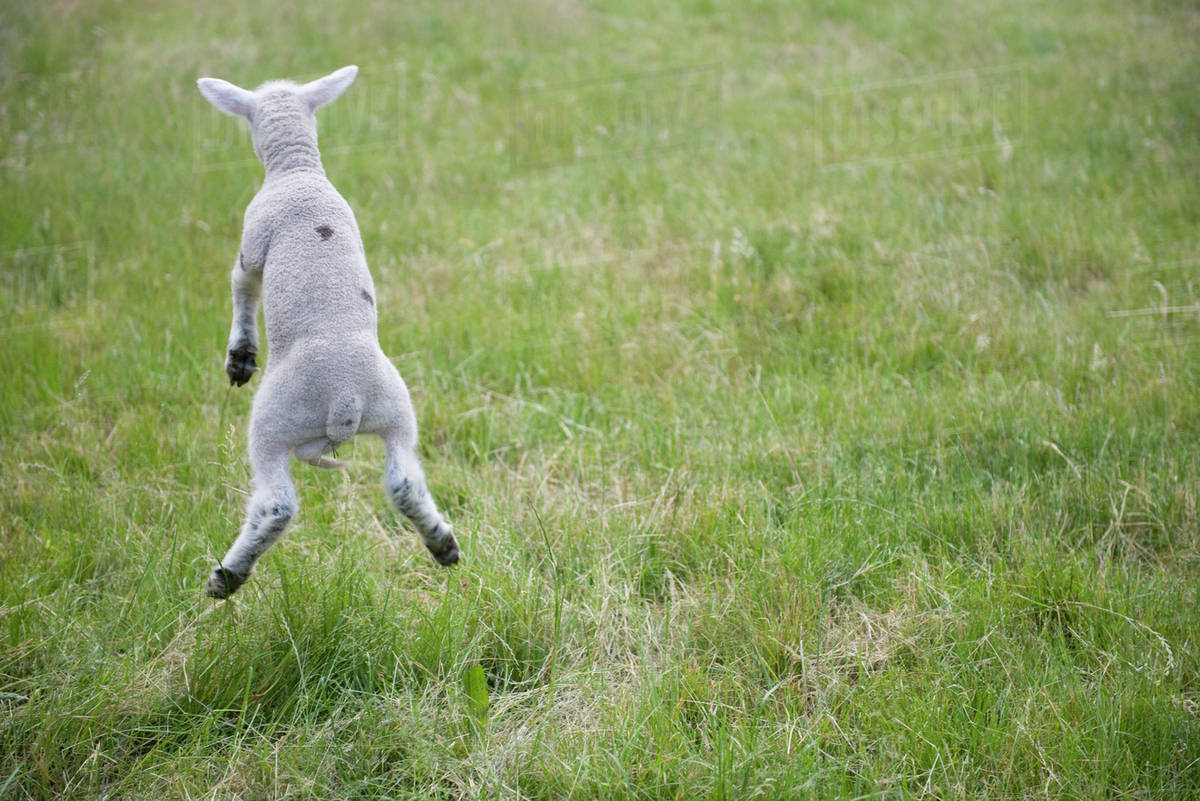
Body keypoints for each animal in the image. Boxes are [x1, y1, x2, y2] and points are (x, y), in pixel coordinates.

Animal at [197, 65, 459, 599]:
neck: (298, 169)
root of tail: (344, 398)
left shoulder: (251, 244)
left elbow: (241, 285)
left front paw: (240, 357)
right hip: (395, 410)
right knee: (404, 481)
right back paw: (442, 543)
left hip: (274, 423)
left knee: (278, 504)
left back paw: (227, 575)